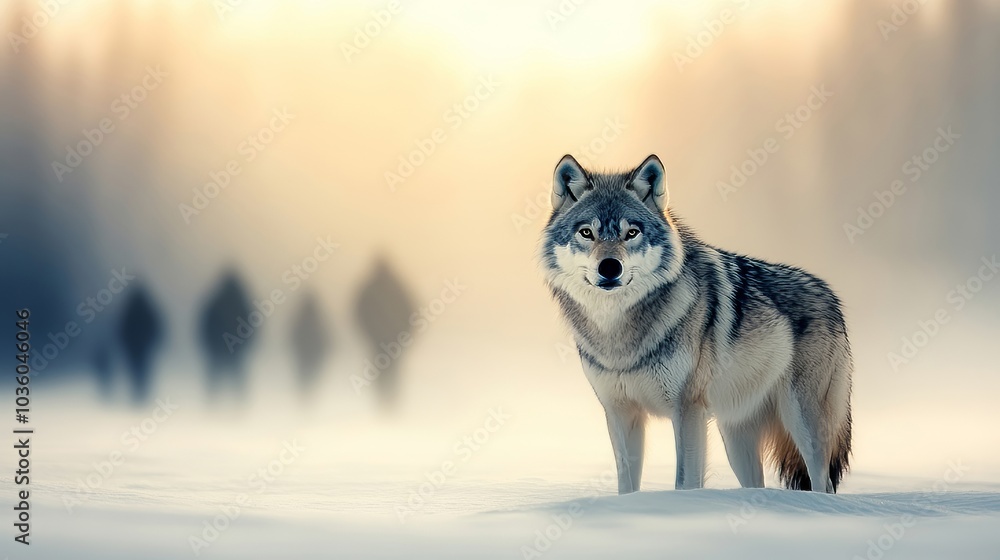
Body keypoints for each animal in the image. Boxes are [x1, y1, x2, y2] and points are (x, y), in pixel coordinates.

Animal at [540, 154, 852, 494]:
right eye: (587, 233)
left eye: (632, 233)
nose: (610, 267)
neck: (618, 334)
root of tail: (831, 295)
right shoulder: (620, 412)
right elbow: (627, 485)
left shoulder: (688, 409)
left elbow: (684, 481)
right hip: (735, 437)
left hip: (803, 424)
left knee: (823, 484)